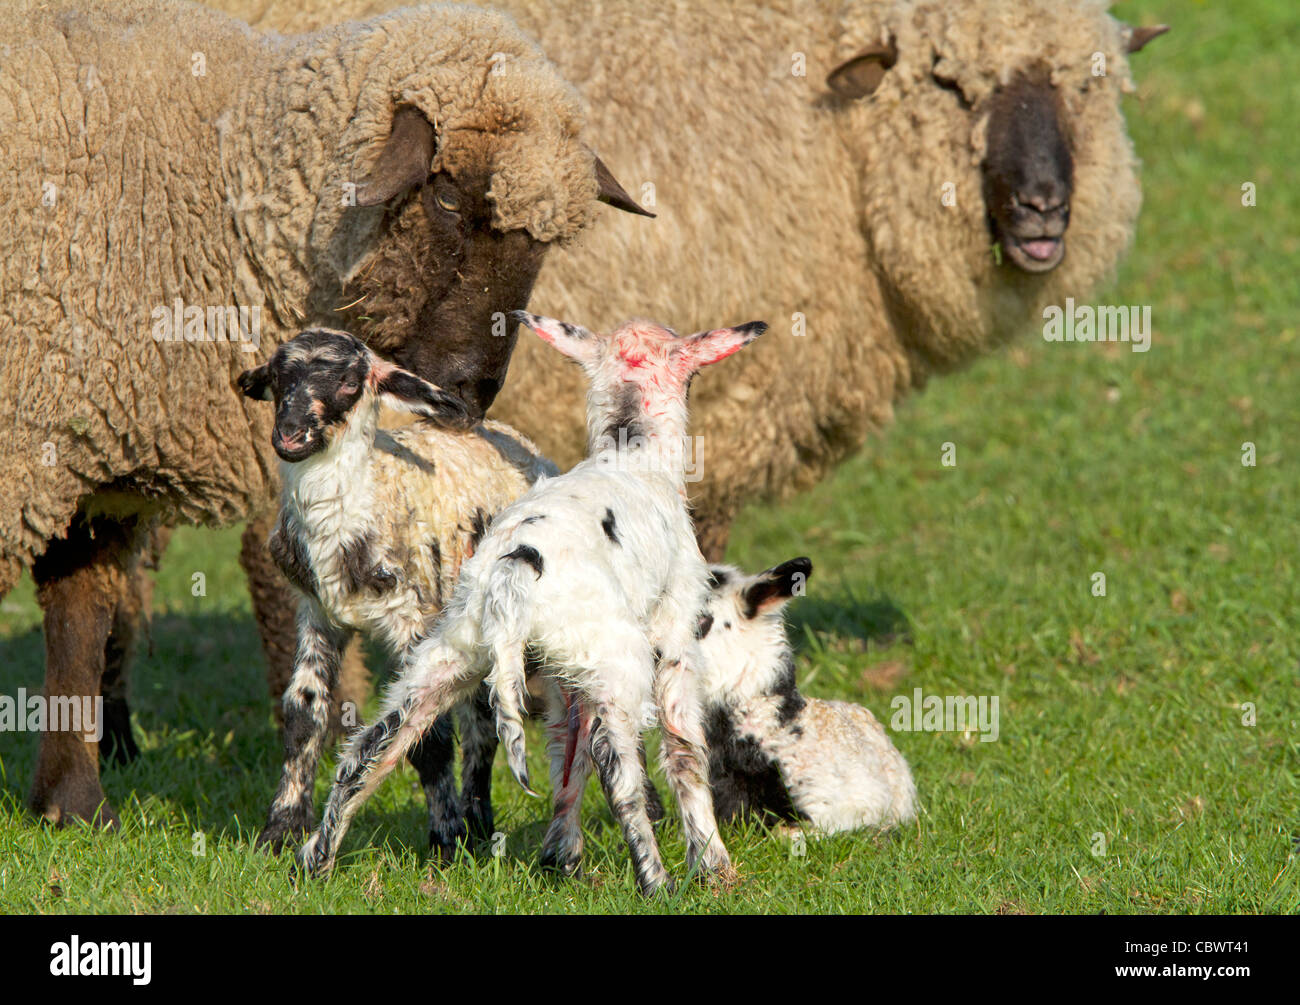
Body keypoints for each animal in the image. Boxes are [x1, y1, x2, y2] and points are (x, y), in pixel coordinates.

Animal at [236, 328, 559, 857]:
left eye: (349, 383)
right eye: (280, 377)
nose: (290, 433)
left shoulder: (413, 616)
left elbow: (425, 735)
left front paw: (445, 838)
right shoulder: (318, 612)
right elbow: (303, 713)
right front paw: (278, 831)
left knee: (483, 726)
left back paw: (476, 824)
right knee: (479, 718)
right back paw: (480, 825)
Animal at [299, 311, 768, 895]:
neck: (633, 451)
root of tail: (511, 572)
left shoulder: (565, 675)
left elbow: (567, 751)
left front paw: (560, 858)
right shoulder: (676, 633)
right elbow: (683, 752)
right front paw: (713, 864)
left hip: (454, 649)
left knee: (370, 749)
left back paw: (313, 864)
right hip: (617, 657)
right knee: (617, 766)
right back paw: (656, 881)